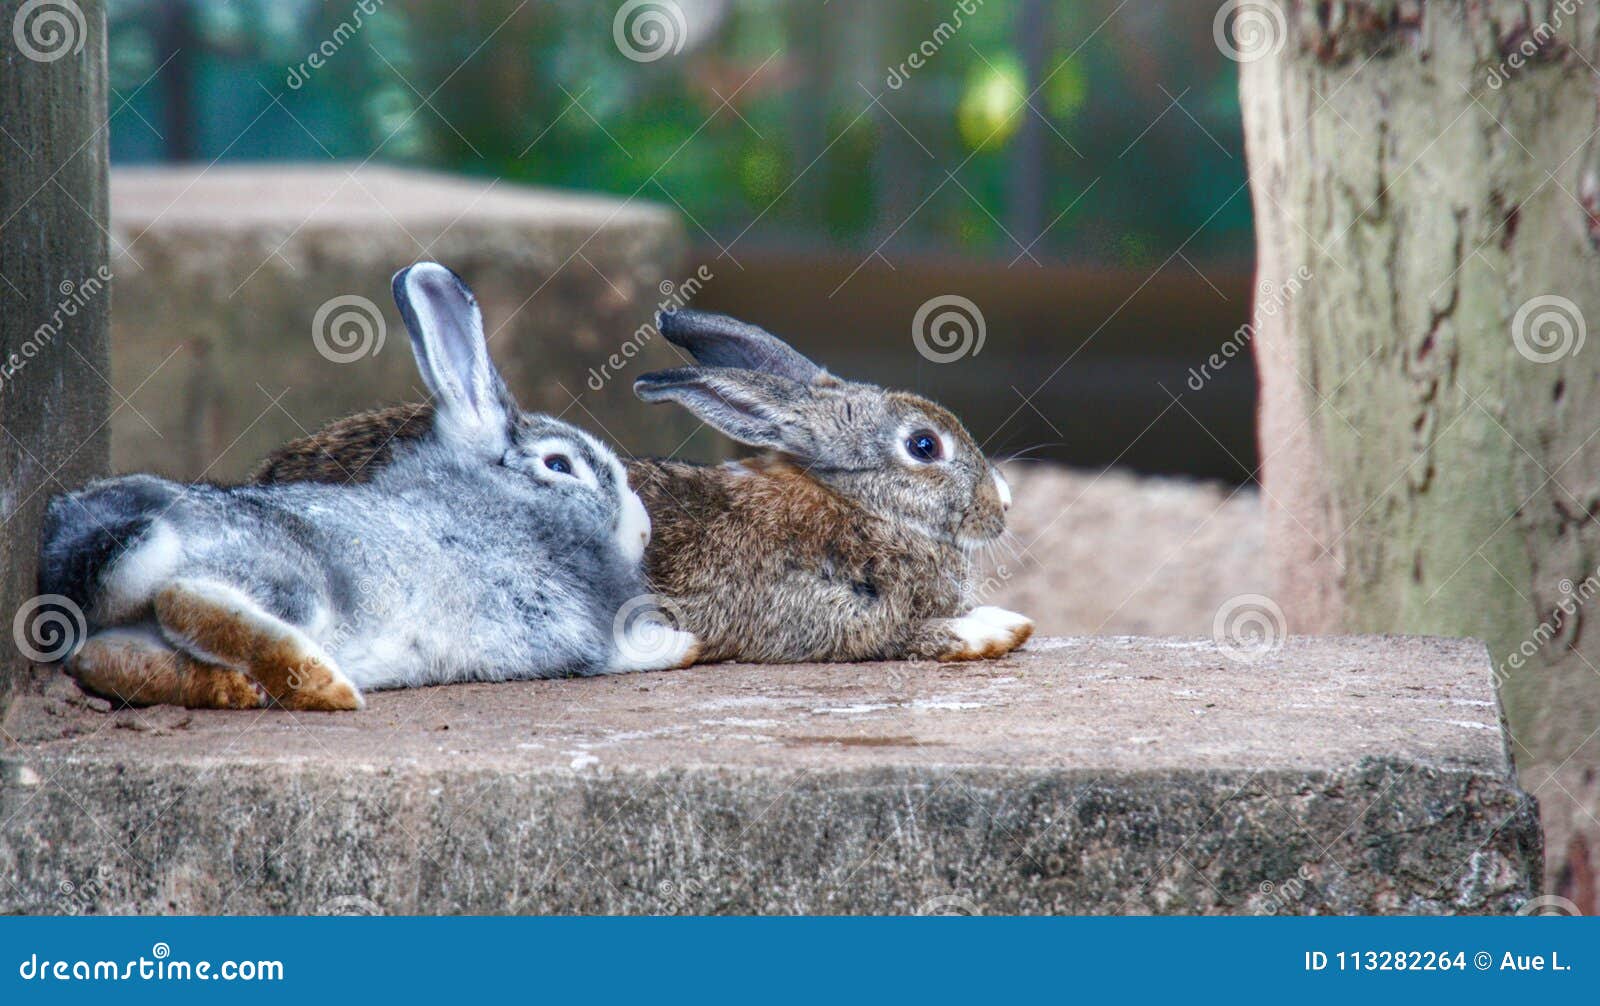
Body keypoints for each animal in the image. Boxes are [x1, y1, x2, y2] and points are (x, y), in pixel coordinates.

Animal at [37, 263, 696, 712]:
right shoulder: (553, 624)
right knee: (188, 599)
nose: (642, 527)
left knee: (108, 655)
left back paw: (241, 690)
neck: (502, 507)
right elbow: (620, 651)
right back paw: (326, 687)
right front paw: (683, 644)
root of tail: (81, 548)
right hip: (294, 578)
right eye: (561, 465)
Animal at [252, 307, 1033, 665]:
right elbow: (913, 635)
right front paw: (996, 627)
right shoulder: (827, 614)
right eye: (924, 446)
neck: (863, 506)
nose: (1002, 506)